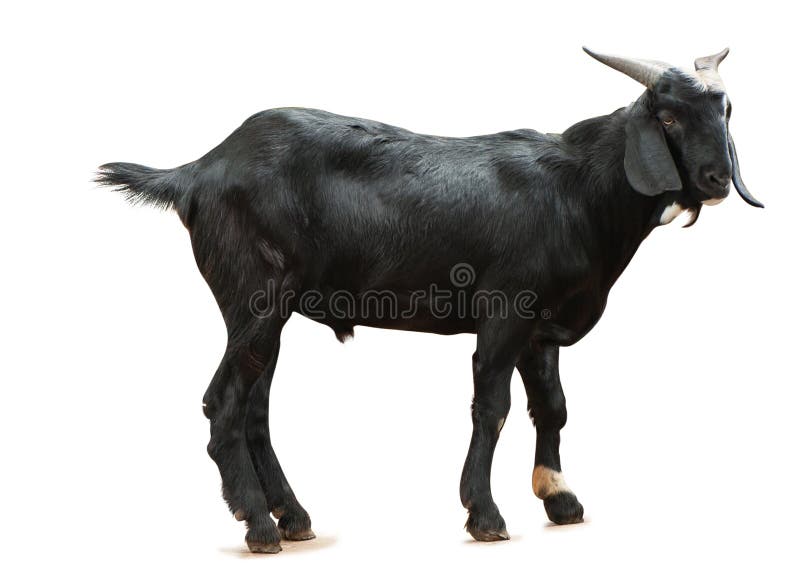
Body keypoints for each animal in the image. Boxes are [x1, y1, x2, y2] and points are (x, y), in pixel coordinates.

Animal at [96, 48, 762, 553]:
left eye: (725, 111)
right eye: (668, 118)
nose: (716, 180)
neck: (576, 190)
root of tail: (197, 171)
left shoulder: (542, 329)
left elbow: (552, 407)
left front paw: (560, 496)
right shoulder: (505, 309)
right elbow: (491, 406)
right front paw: (485, 514)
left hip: (267, 314)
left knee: (256, 409)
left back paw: (294, 518)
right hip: (254, 296)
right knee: (223, 403)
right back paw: (259, 525)